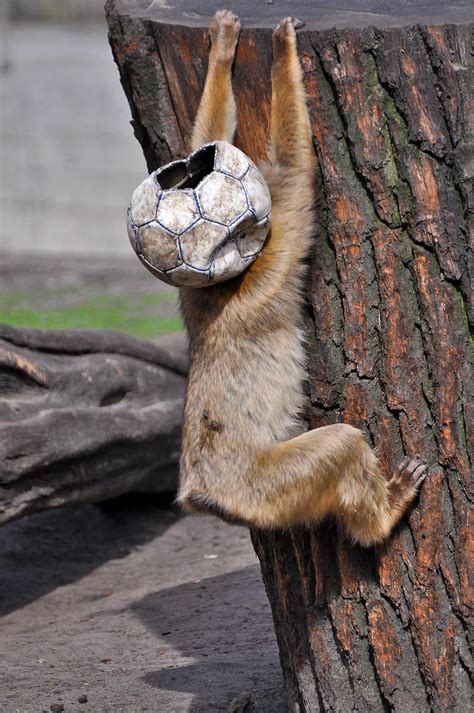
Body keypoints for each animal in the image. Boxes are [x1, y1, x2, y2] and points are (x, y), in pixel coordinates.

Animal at [176, 10, 428, 545]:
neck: (230, 279)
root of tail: (206, 496)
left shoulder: (197, 290)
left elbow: (206, 142)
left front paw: (223, 50)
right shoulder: (281, 231)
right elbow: (295, 168)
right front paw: (282, 50)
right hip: (267, 486)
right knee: (341, 445)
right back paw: (383, 515)